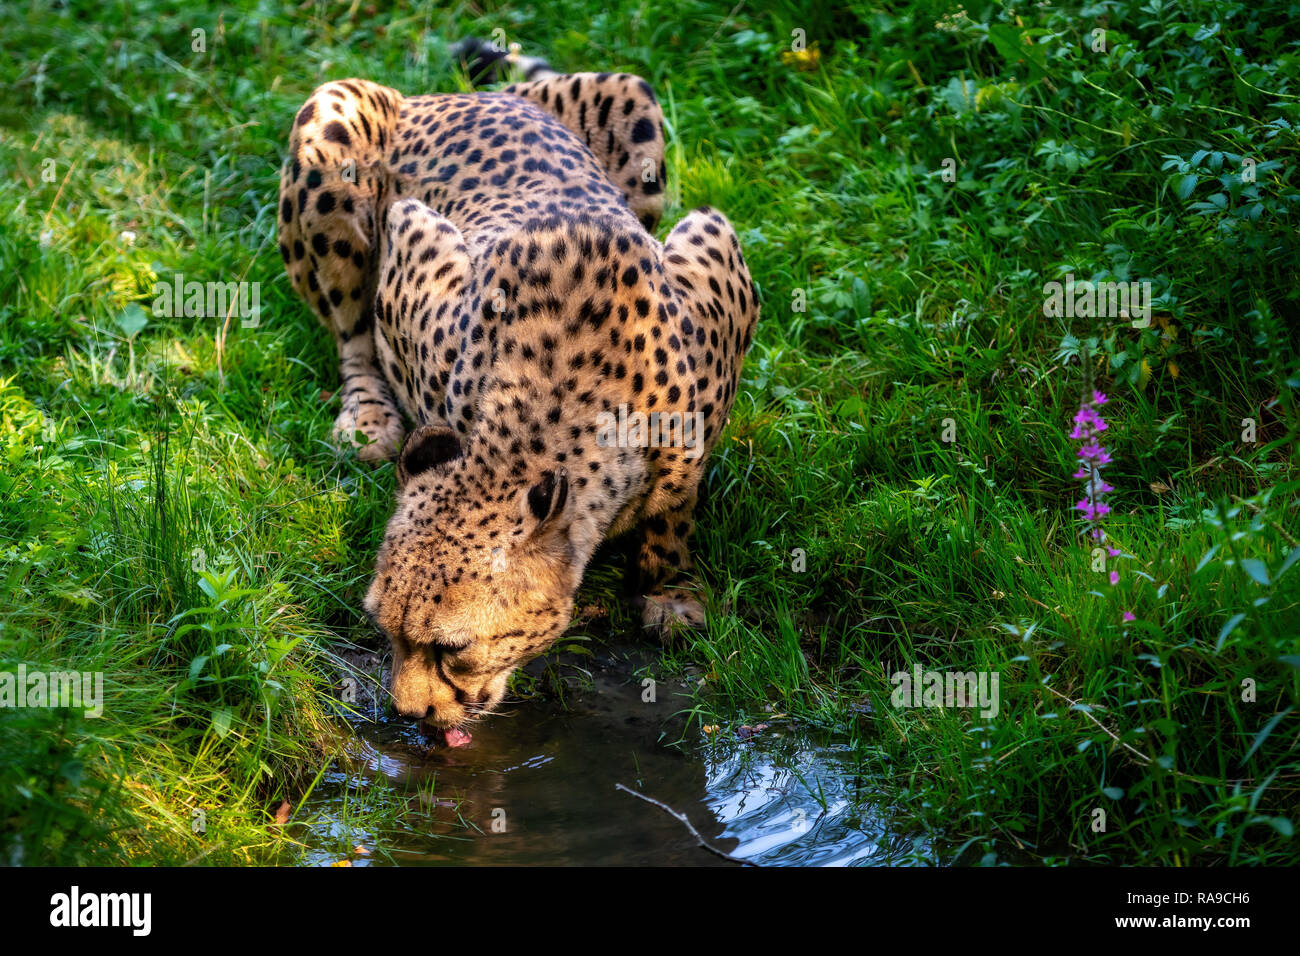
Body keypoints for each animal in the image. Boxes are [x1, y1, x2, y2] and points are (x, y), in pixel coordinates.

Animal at [277, 39, 759, 743]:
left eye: (453, 648)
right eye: (383, 629)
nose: (409, 715)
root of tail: (457, 95)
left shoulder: (715, 248)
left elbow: (678, 496)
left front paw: (670, 590)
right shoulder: (411, 241)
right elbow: (373, 324)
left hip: (636, 114)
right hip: (330, 123)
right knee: (347, 330)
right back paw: (367, 415)